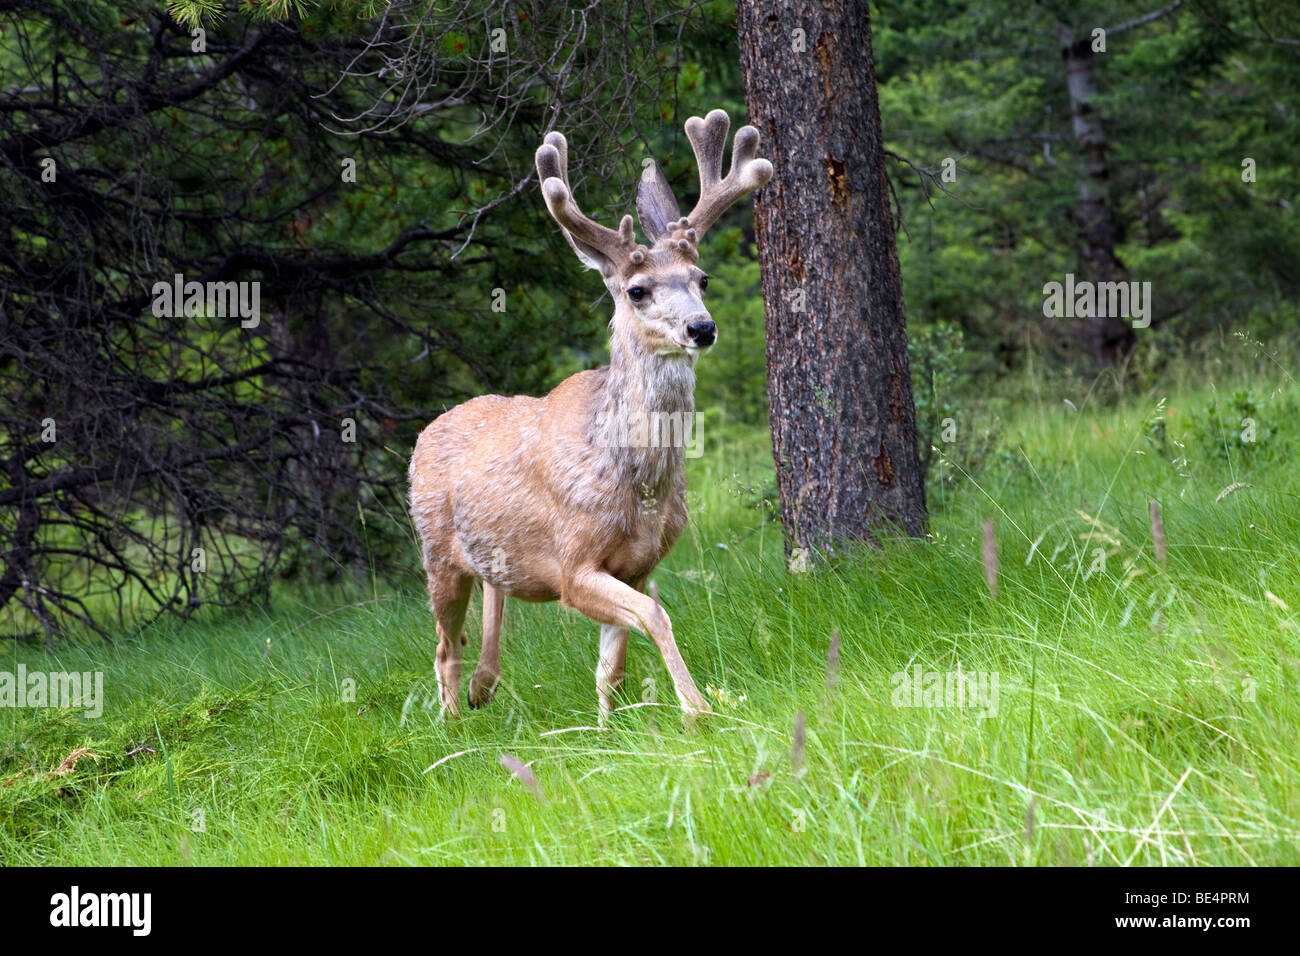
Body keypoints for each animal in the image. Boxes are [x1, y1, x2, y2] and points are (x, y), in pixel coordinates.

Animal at [408, 108, 772, 725]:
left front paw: (609, 728)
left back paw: (484, 686)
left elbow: (613, 666)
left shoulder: (638, 564)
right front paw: (697, 710)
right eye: (637, 289)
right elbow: (655, 616)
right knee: (441, 646)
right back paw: (453, 722)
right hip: (435, 550)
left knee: (492, 595)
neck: (639, 481)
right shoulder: (574, 563)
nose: (701, 327)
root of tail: (426, 432)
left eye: (702, 279)